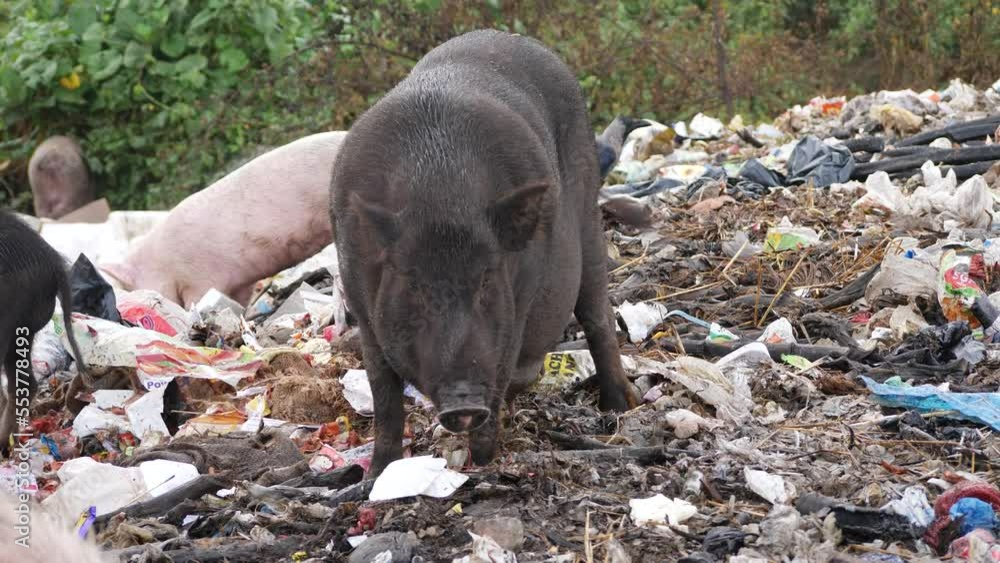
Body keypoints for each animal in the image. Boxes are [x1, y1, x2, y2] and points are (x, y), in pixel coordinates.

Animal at [331, 29, 639, 476]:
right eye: (413, 284)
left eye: (486, 280)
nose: (464, 400)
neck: (440, 198)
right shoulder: (363, 309)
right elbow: (384, 398)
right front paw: (376, 477)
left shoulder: (516, 305)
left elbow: (500, 373)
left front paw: (480, 462)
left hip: (587, 220)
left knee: (597, 313)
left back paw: (619, 406)